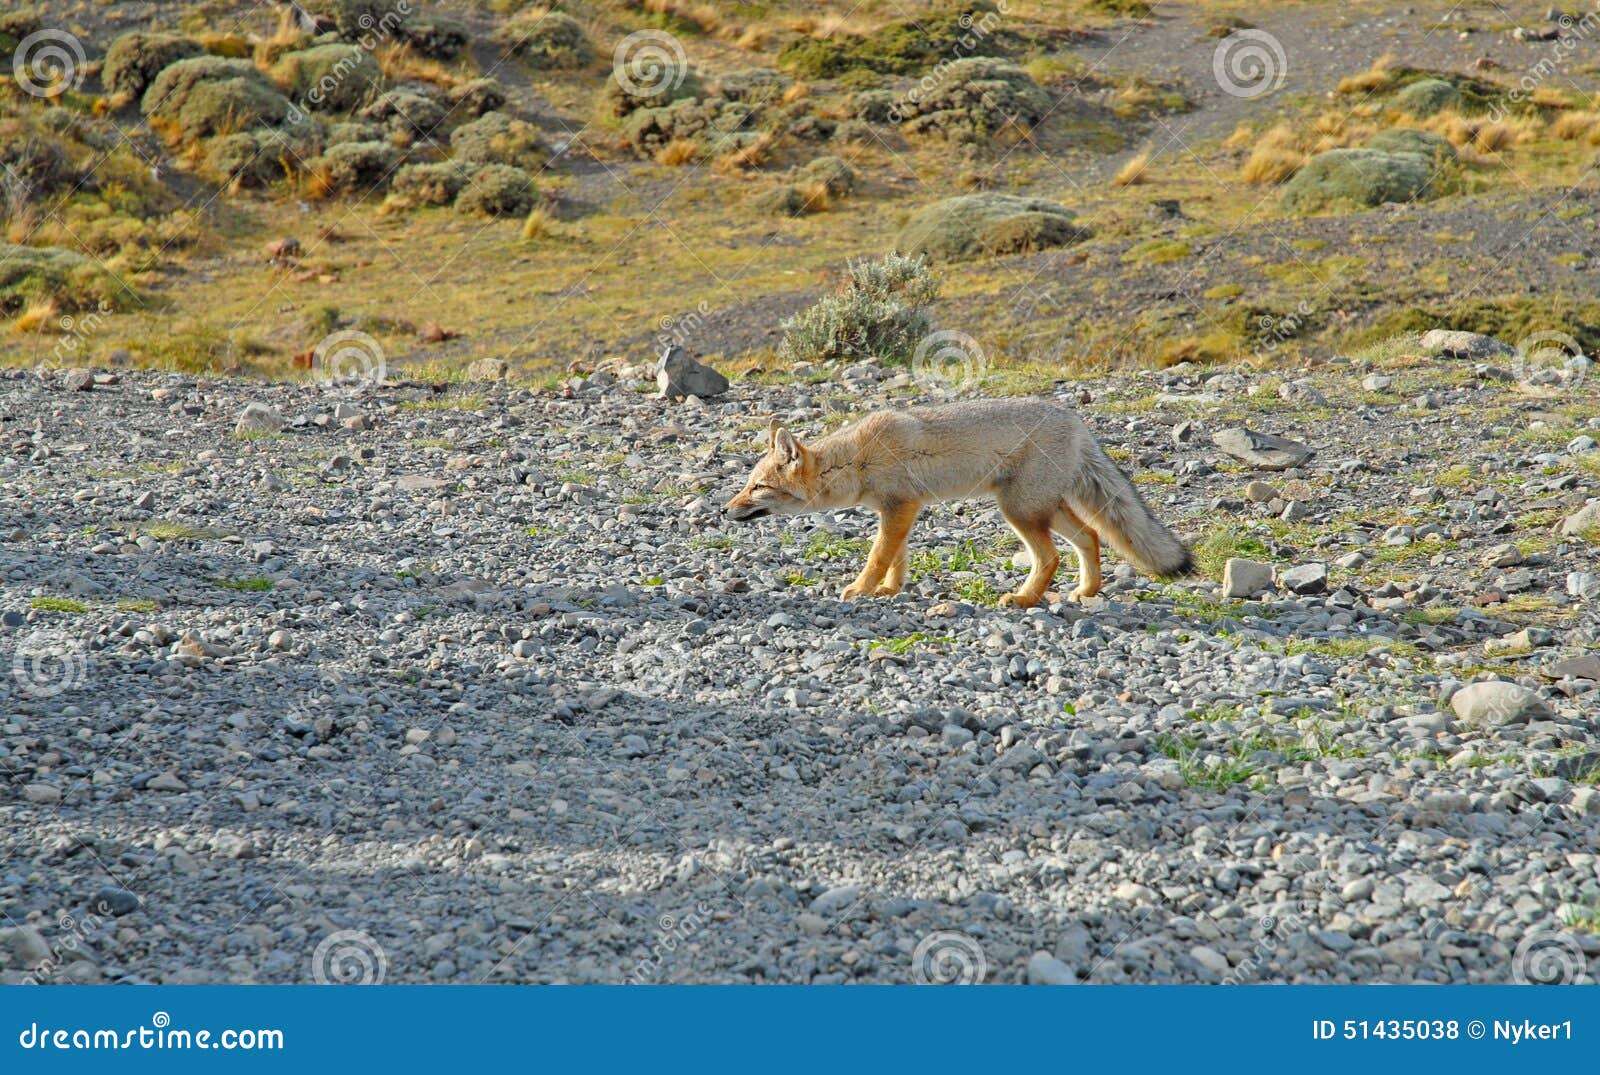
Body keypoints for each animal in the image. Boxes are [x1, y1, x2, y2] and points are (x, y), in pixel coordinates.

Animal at [723, 398, 1192, 608]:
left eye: (758, 488)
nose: (724, 511)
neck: (855, 458)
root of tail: (1076, 421)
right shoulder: (898, 511)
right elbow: (896, 557)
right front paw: (890, 590)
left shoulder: (900, 507)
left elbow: (878, 556)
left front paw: (861, 588)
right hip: (1043, 508)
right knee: (1091, 537)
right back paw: (1086, 591)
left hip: (1018, 512)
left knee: (1052, 556)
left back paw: (1024, 599)